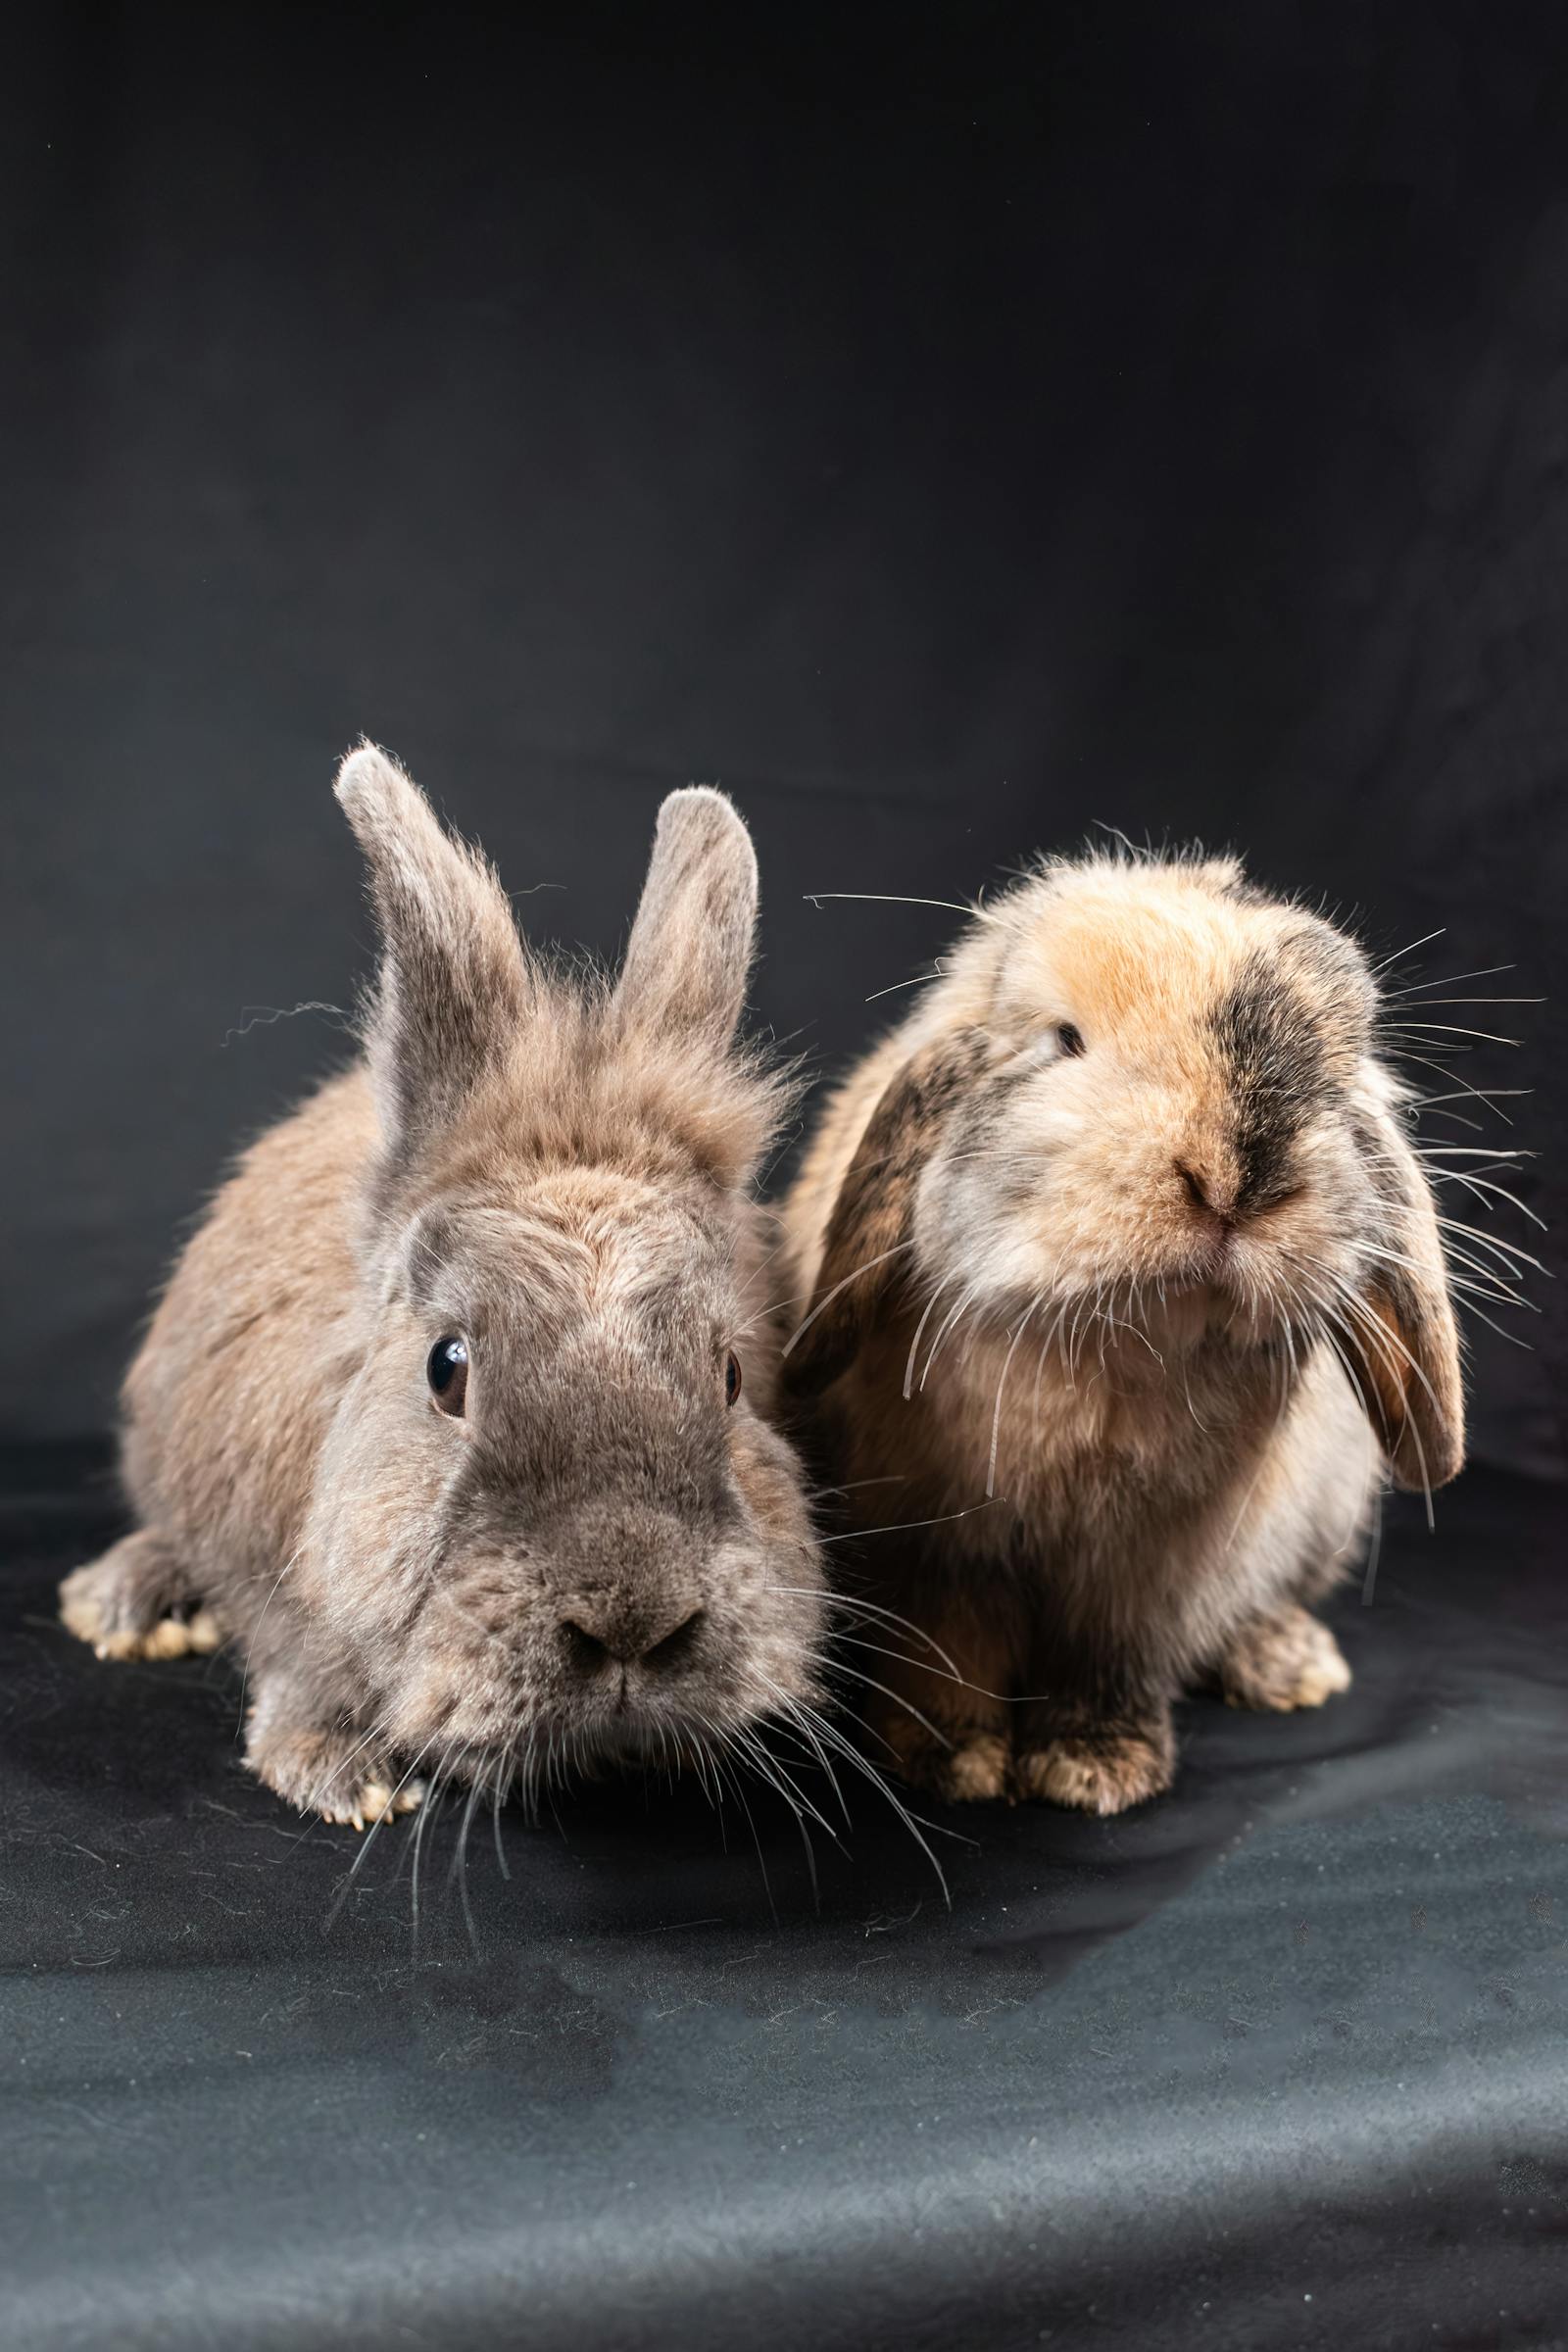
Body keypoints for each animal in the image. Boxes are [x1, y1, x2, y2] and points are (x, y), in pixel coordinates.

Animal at [780, 845, 1466, 1815]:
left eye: (1336, 1075)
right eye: (1065, 1039)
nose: (1235, 1178)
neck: (1118, 1350)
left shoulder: (1143, 1583)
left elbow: (1108, 1663)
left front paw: (1095, 1769)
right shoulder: (939, 1552)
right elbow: (950, 1653)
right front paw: (947, 1762)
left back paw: (1293, 1668)